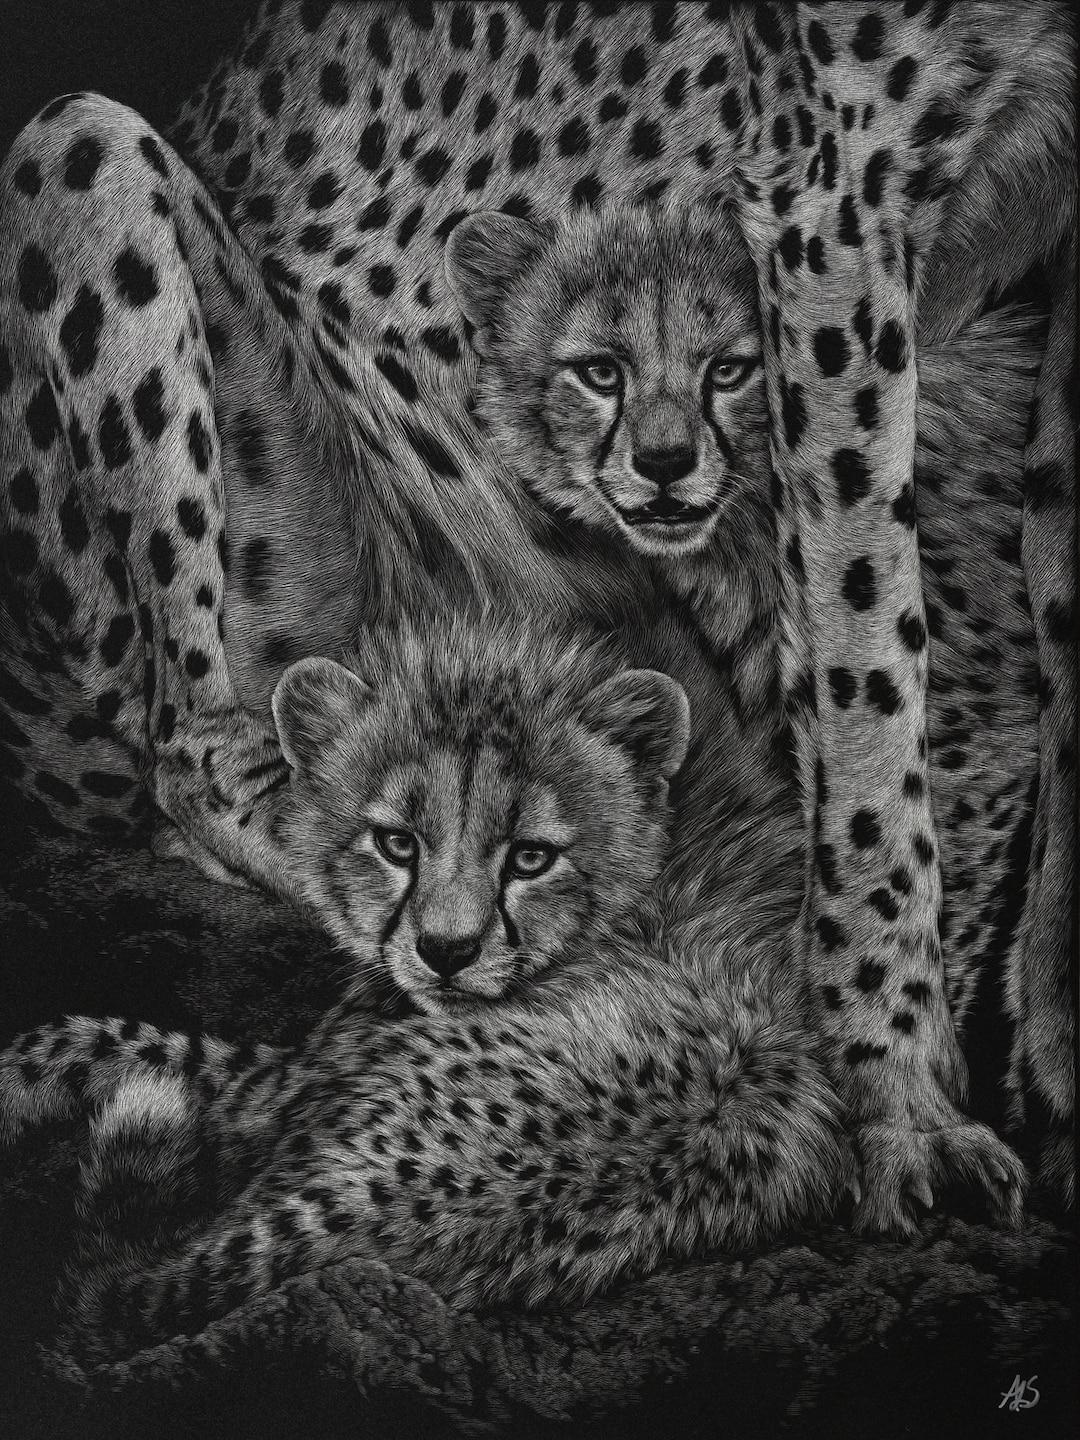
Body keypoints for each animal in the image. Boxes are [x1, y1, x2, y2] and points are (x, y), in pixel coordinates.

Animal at [0, 0, 1073, 1265]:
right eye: (596, 371)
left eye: (724, 371)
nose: (662, 461)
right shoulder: (828, 217)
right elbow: (866, 672)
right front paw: (900, 1098)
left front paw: (1056, 1066)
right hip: (75, 142)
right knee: (201, 757)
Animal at [0, 606, 849, 1365]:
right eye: (396, 843)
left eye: (531, 857)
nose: (447, 950)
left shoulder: (283, 1079)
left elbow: (120, 1037)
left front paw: (16, 1079)